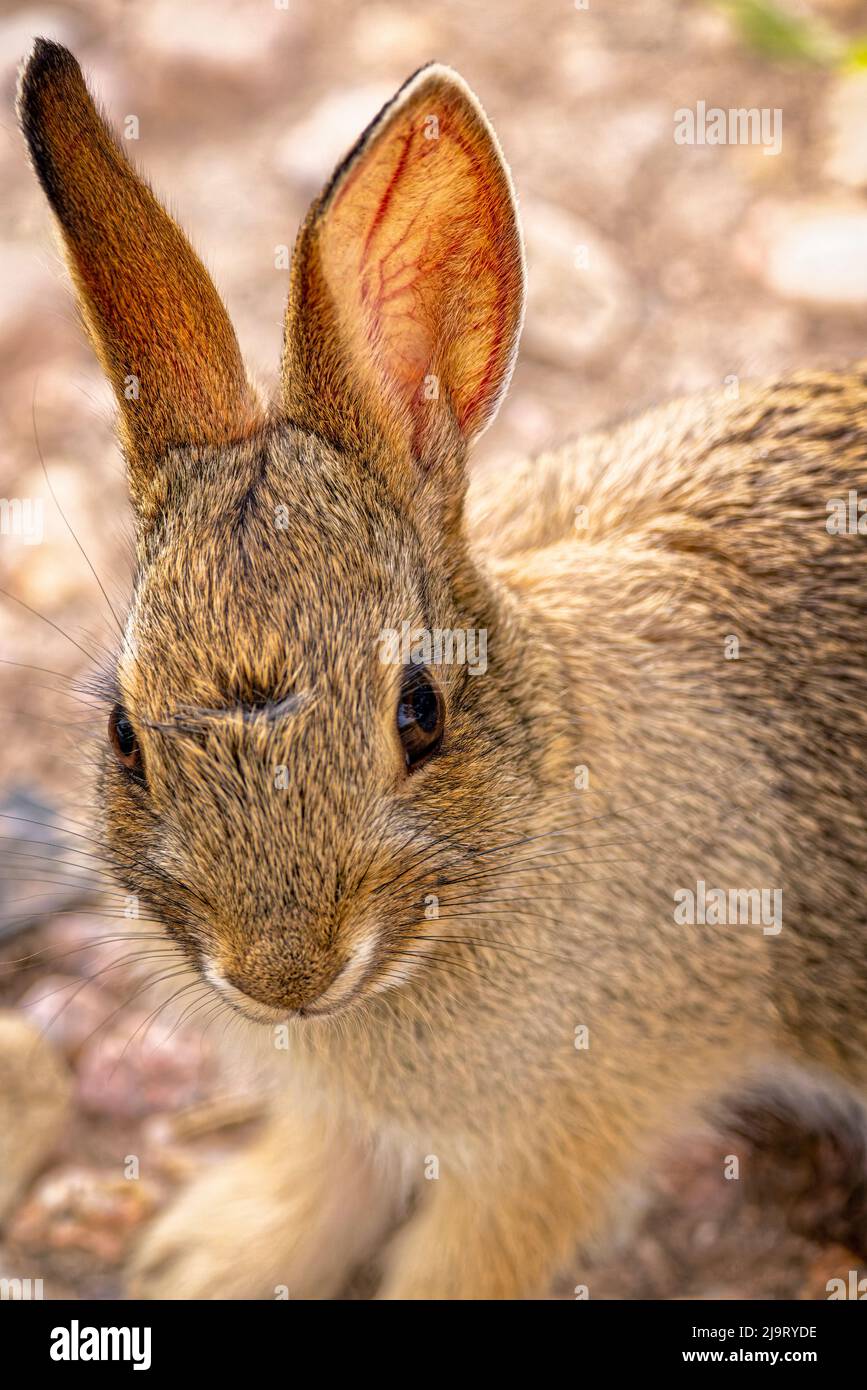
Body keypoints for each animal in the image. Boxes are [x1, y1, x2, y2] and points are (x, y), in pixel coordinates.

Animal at [17, 37, 867, 1300]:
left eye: (421, 712)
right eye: (123, 734)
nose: (282, 978)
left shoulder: (566, 1134)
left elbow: (469, 1253)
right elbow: (331, 1174)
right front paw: (203, 1261)